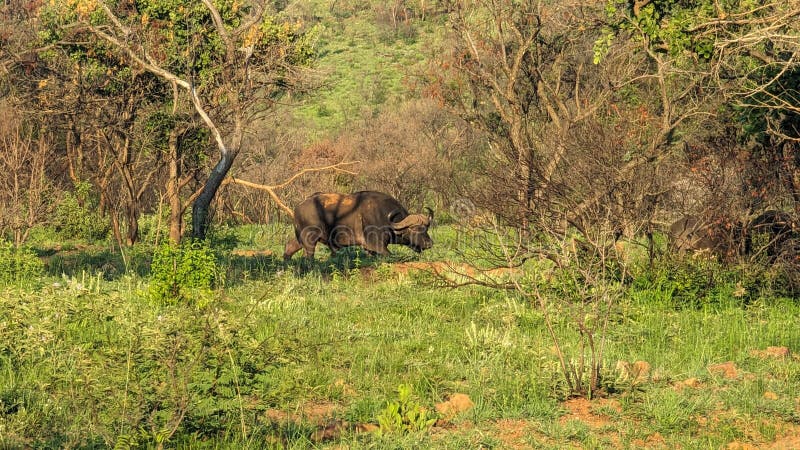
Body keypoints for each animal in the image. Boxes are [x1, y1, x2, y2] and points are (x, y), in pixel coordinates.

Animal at [283, 191, 434, 260]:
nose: (429, 244)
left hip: (300, 239)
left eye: (426, 228)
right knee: (308, 256)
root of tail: (297, 208)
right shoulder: (378, 246)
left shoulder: (369, 249)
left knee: (289, 247)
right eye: (414, 229)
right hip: (309, 240)